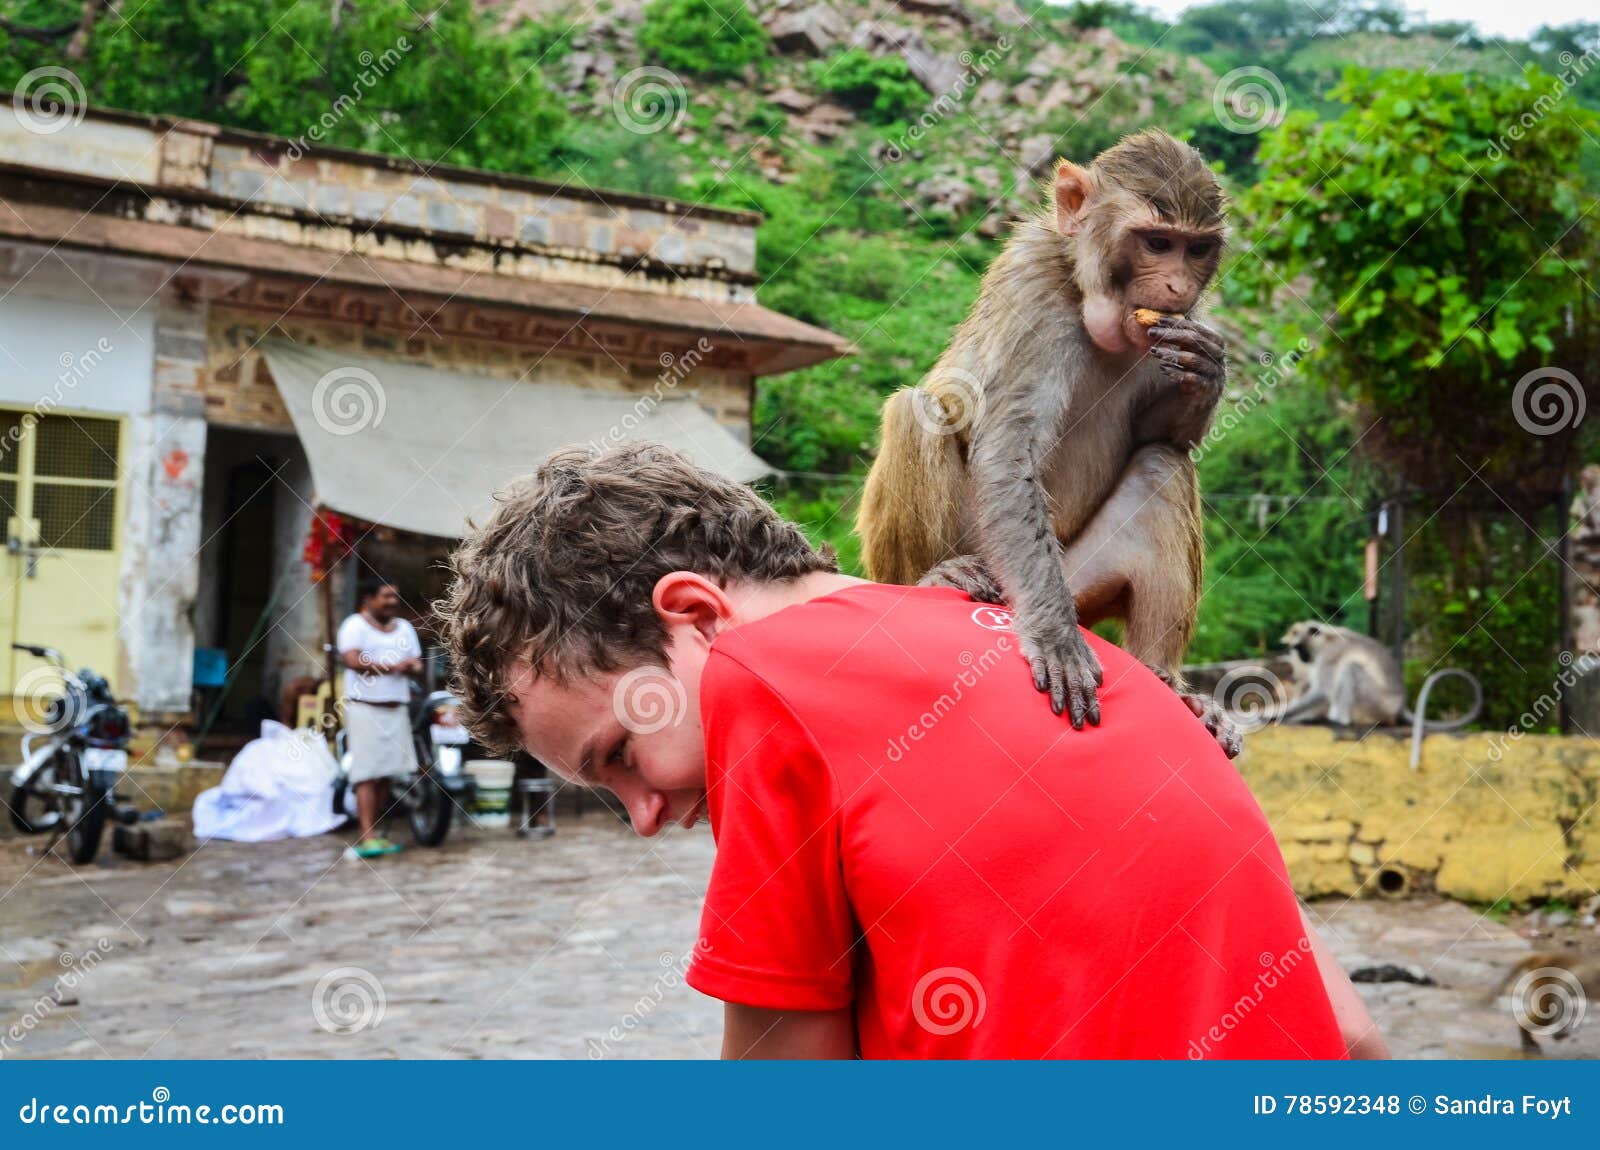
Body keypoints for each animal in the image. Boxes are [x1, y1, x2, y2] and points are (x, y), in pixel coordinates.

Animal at [857, 129, 1229, 735]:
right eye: (1156, 242)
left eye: (1195, 250)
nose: (1176, 287)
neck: (1084, 294)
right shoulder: (1034, 286)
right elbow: (1008, 448)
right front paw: (1055, 638)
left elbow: (1162, 434)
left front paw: (1207, 371)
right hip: (1003, 573)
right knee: (916, 413)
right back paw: (934, 578)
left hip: (1077, 580)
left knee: (1161, 465)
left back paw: (1170, 684)